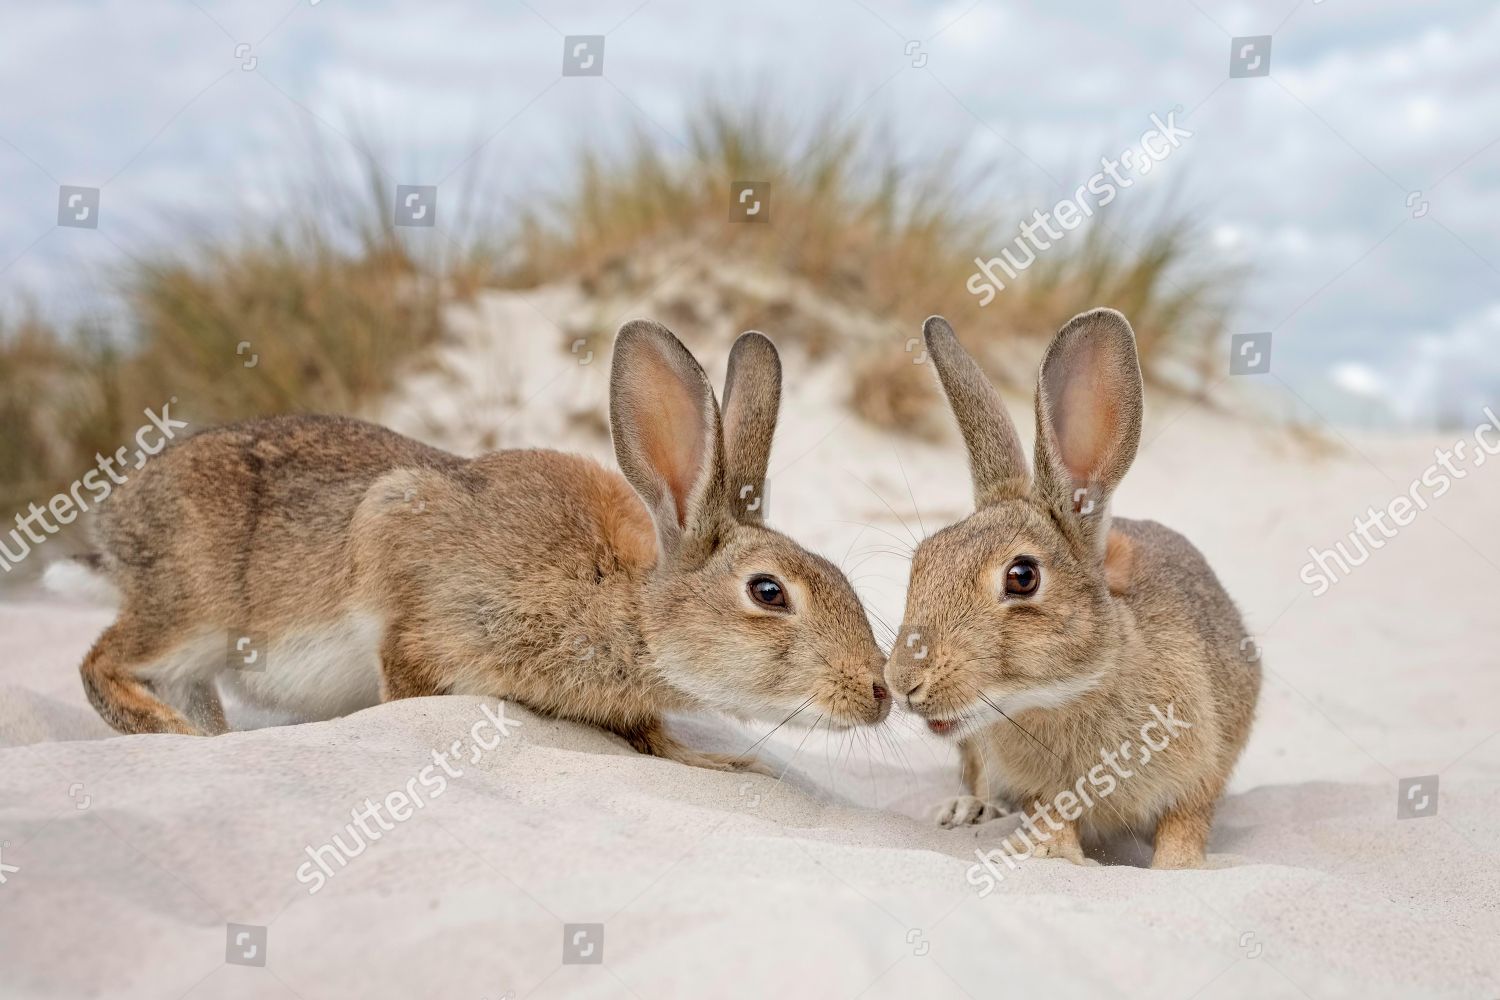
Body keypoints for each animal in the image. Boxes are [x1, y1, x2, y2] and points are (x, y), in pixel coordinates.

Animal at [52, 320, 891, 771]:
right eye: (768, 592)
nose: (879, 692)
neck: (623, 602)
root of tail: (117, 523)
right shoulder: (409, 591)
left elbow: (651, 736)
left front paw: (714, 758)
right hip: (194, 609)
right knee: (101, 661)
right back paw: (171, 734)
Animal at [883, 309, 1259, 869]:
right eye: (923, 561)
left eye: (1022, 576)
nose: (903, 682)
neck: (1071, 692)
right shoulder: (1040, 791)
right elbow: (1050, 821)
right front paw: (1060, 858)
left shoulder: (1200, 771)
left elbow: (1185, 823)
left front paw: (1179, 866)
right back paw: (966, 809)